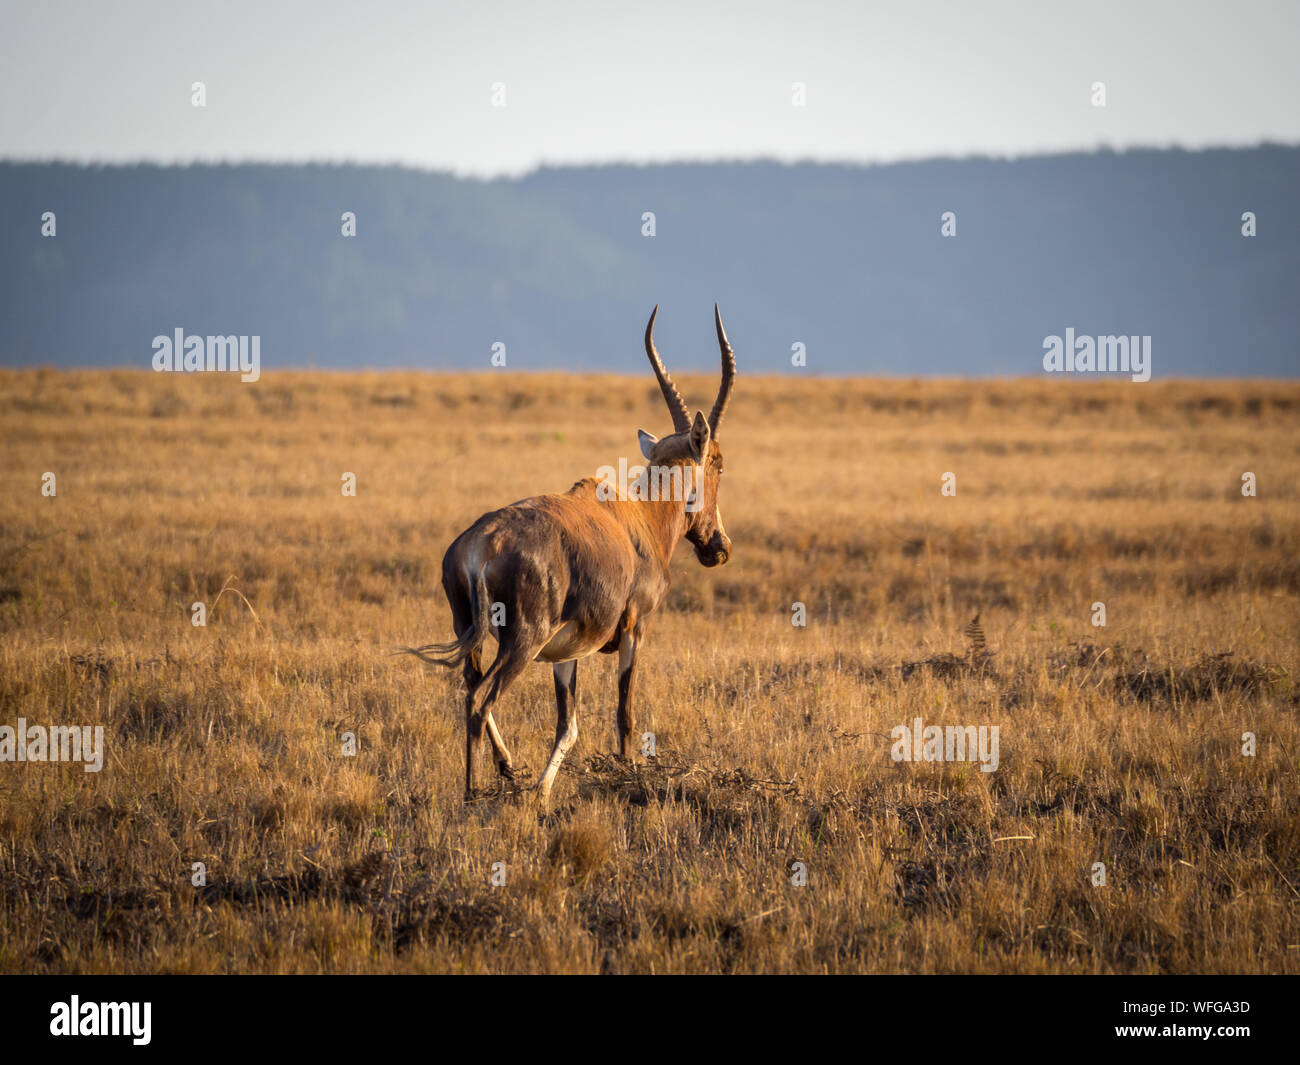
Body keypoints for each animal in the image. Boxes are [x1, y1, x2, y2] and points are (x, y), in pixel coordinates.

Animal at [402, 306, 735, 805]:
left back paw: (507, 768)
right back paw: (472, 793)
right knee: (480, 699)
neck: (639, 517)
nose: (720, 547)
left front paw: (541, 792)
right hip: (523, 640)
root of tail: (479, 544)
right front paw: (625, 776)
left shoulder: (565, 653)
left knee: (468, 687)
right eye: (717, 463)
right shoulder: (635, 628)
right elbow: (623, 713)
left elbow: (568, 726)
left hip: (471, 631)